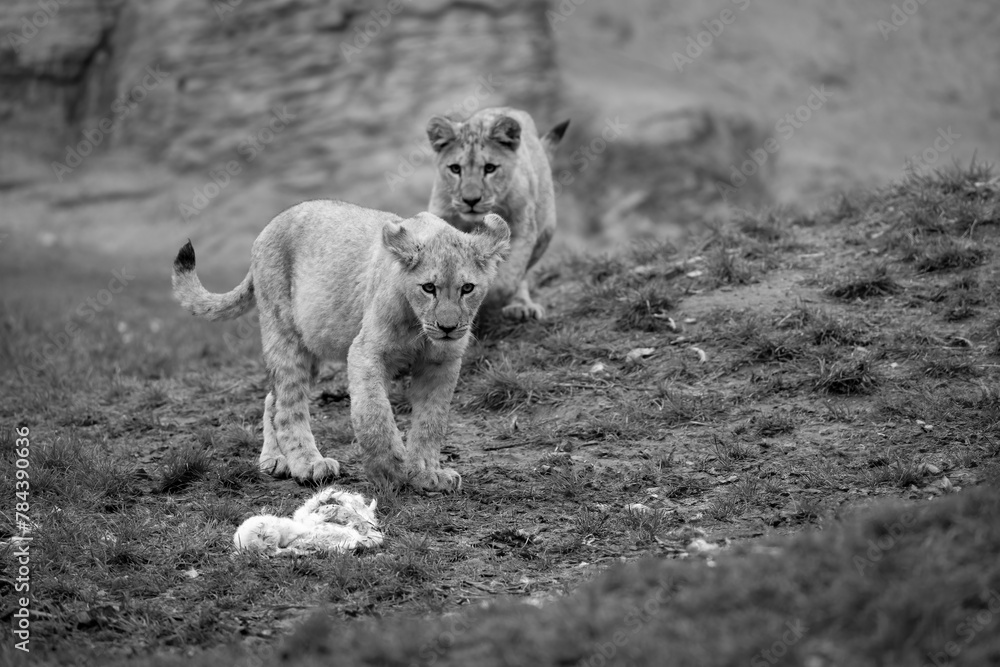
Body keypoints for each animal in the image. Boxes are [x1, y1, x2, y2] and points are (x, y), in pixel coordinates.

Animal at [172, 200, 510, 491]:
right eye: (429, 287)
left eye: (468, 288)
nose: (448, 327)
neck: (419, 328)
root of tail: (271, 225)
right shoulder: (365, 352)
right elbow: (373, 411)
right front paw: (389, 469)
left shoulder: (443, 362)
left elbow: (432, 420)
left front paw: (427, 473)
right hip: (284, 332)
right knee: (288, 405)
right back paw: (307, 464)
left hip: (309, 351)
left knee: (273, 398)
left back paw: (275, 459)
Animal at [426, 106, 569, 320]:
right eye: (455, 169)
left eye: (490, 168)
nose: (471, 200)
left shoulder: (522, 228)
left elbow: (507, 279)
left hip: (546, 230)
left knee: (522, 275)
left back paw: (521, 306)